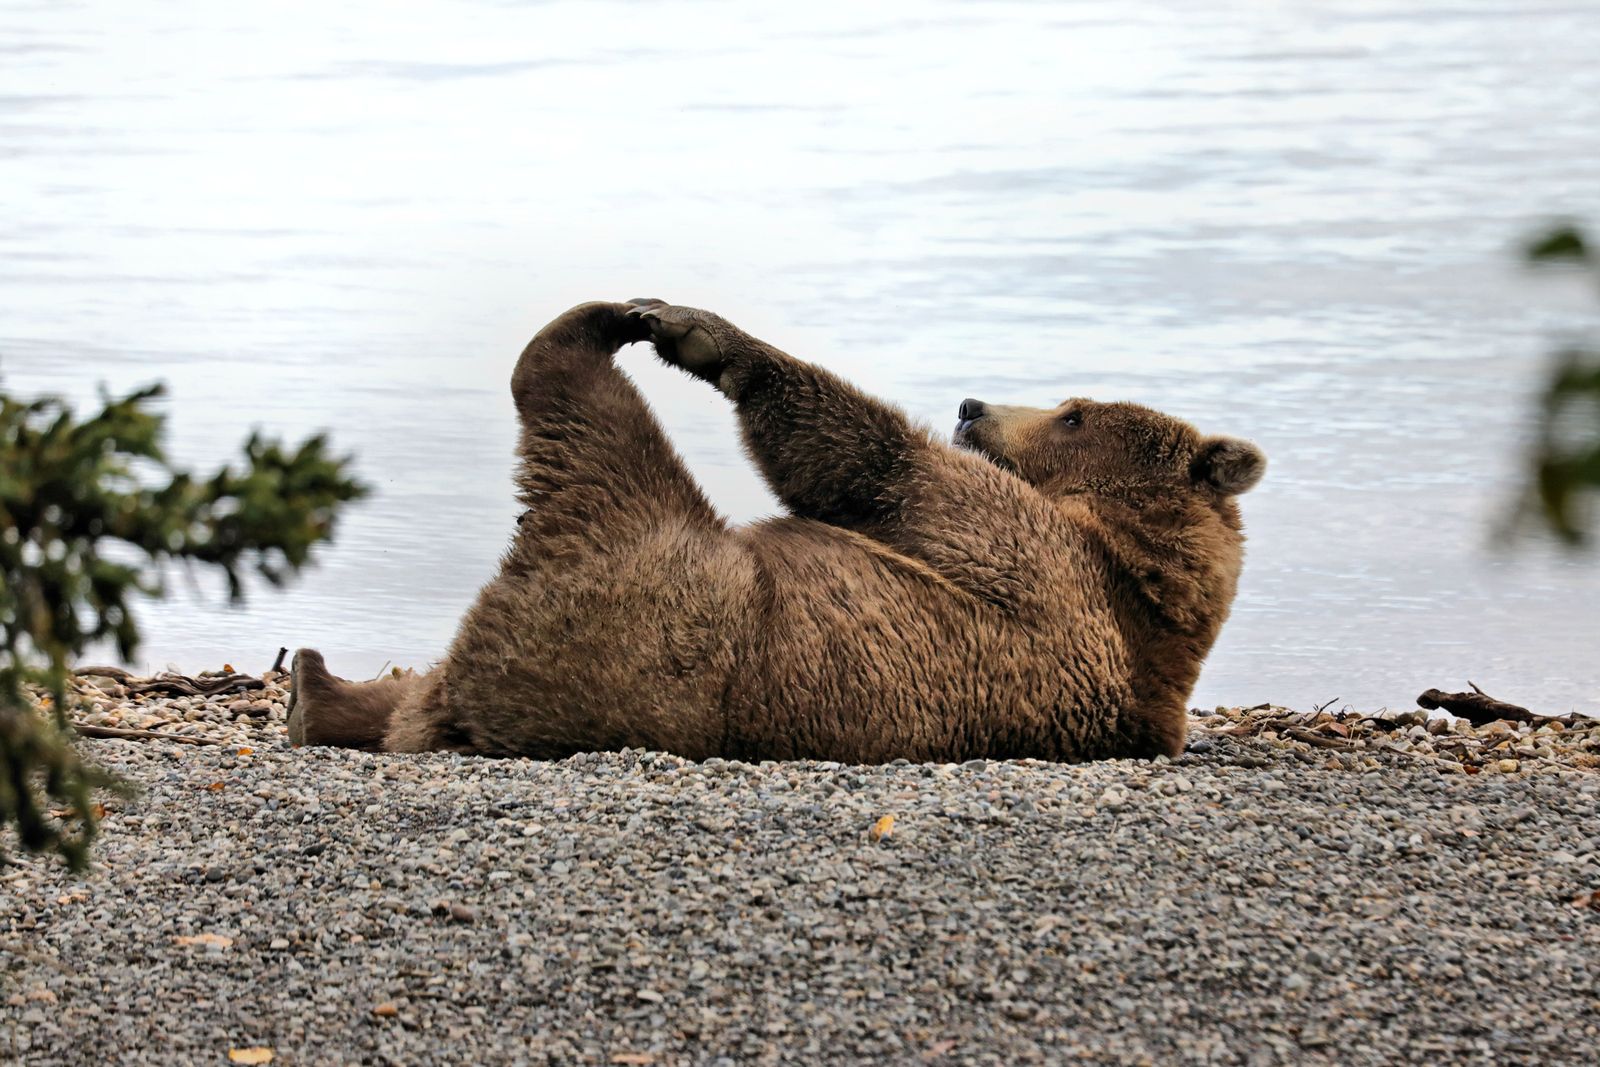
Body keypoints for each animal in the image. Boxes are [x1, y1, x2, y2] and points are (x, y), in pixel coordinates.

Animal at [286, 299, 1265, 763]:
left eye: (1072, 414)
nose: (972, 406)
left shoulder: (1039, 565)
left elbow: (877, 467)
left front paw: (699, 334)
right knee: (408, 687)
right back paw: (316, 686)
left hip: (644, 593)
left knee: (592, 435)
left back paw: (591, 328)